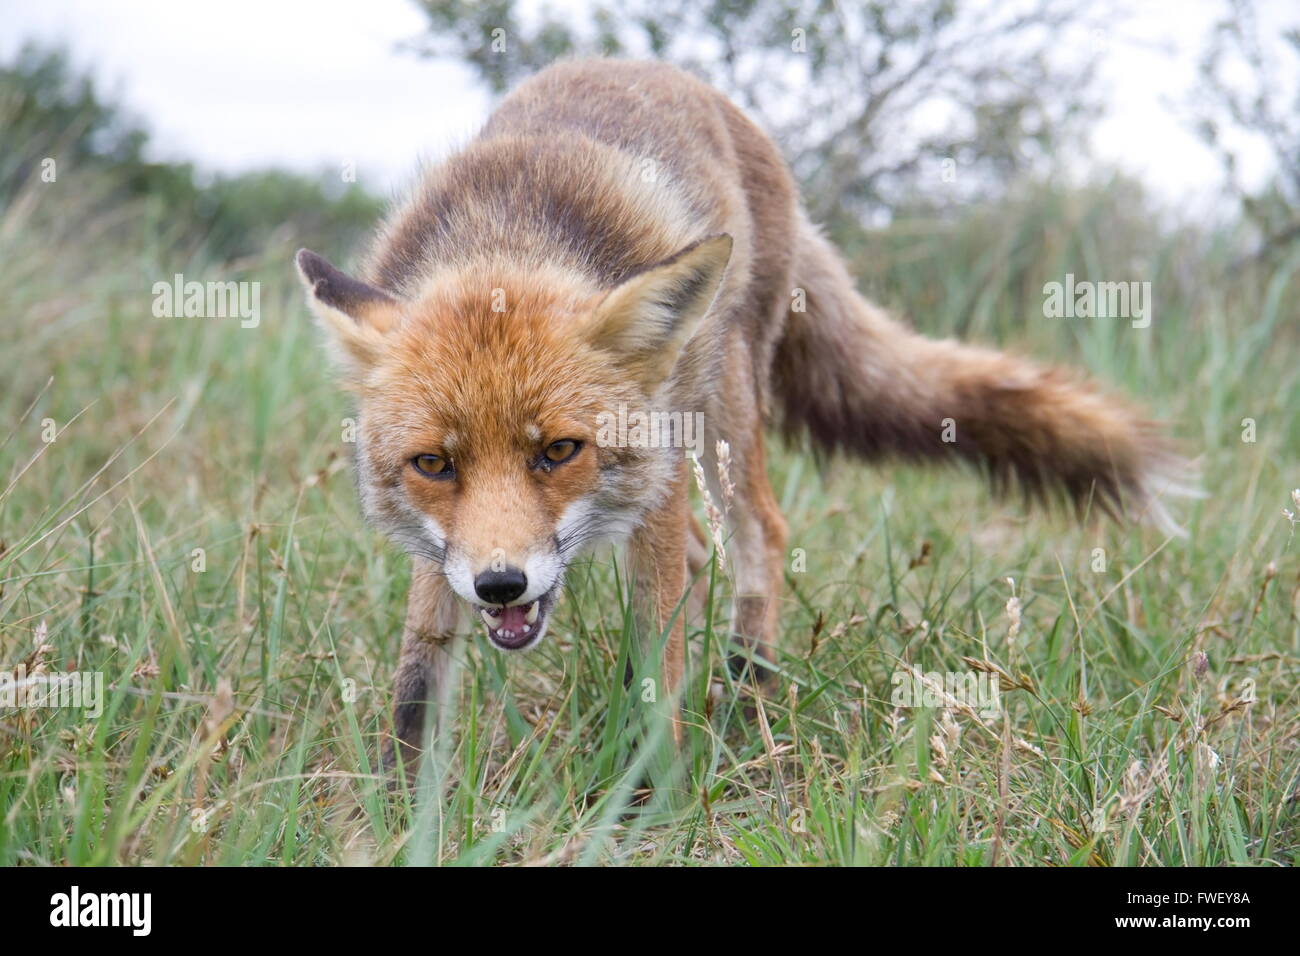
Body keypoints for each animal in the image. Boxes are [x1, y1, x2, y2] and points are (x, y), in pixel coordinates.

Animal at [295, 59, 1191, 773]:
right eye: (433, 464)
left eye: (559, 451)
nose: (501, 583)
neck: (505, 233)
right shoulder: (442, 550)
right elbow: (417, 678)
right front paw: (399, 807)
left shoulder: (653, 477)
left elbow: (655, 658)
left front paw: (646, 801)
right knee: (700, 558)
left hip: (717, 406)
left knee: (758, 534)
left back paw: (746, 689)